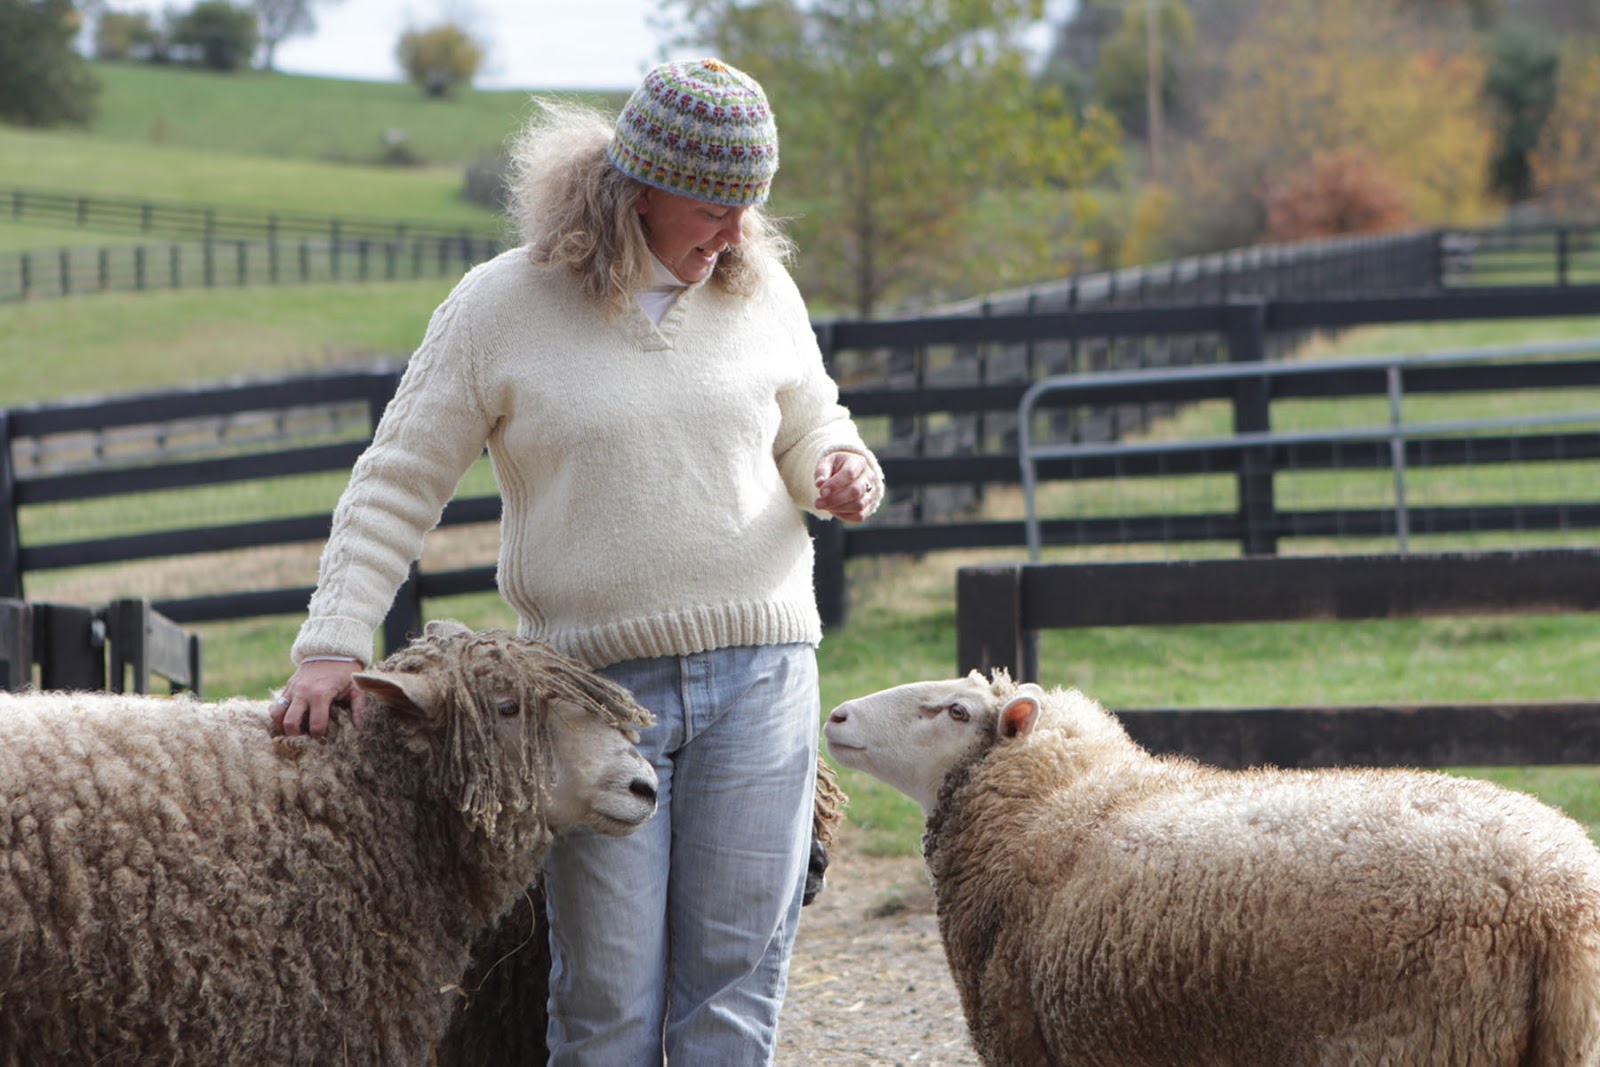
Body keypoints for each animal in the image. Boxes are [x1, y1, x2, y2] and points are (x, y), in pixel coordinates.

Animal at [824, 669, 1600, 1067]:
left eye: (955, 711)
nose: (835, 716)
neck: (1053, 803)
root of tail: (1563, 907)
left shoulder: (1028, 1041)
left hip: (1413, 1043)